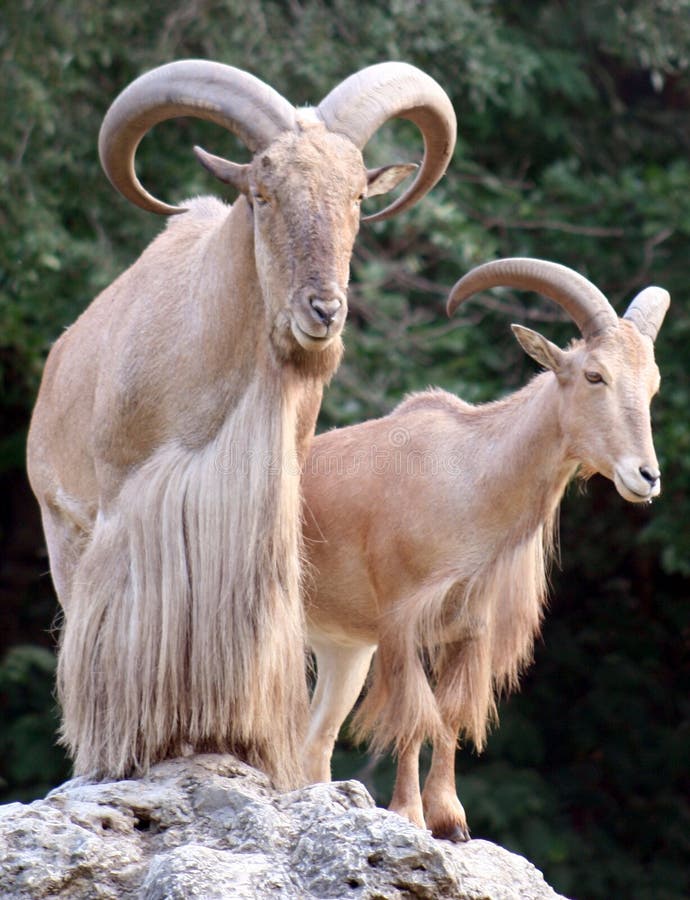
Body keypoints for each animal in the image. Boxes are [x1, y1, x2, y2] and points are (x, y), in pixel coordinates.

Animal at [301, 257, 669, 837]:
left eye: (652, 385)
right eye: (594, 375)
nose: (646, 476)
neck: (470, 476)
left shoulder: (469, 629)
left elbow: (450, 714)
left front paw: (450, 819)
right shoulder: (402, 623)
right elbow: (415, 714)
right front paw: (409, 814)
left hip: (343, 651)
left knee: (315, 741)